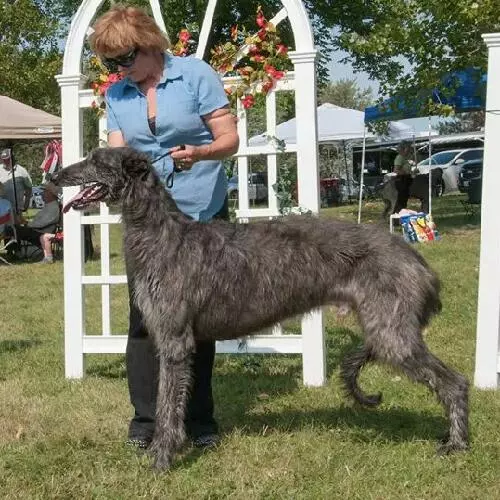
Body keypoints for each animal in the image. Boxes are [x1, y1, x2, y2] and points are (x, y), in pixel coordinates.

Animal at [53, 147, 468, 468]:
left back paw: (457, 444)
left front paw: (161, 458)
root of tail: (418, 262)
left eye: (95, 160)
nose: (55, 176)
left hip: (391, 334)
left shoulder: (174, 343)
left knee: (456, 383)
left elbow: (168, 405)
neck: (161, 232)